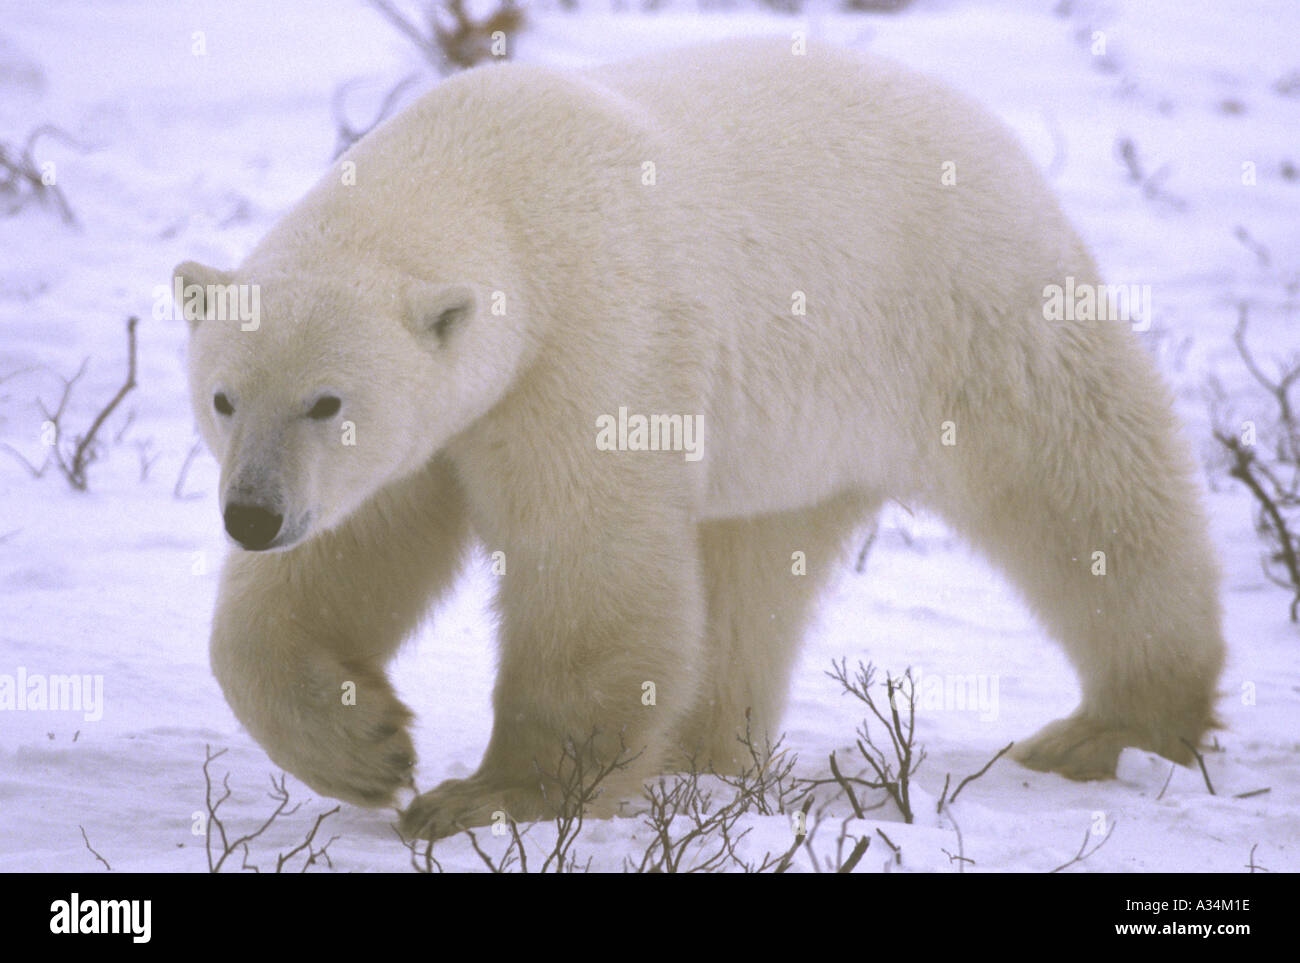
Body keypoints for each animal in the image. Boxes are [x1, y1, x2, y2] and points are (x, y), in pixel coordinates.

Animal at [177, 38, 1225, 839]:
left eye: (326, 401)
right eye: (223, 397)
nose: (252, 516)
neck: (493, 179)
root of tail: (990, 128)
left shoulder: (590, 338)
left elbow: (585, 557)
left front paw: (487, 795)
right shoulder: (435, 426)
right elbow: (349, 555)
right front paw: (365, 749)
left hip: (968, 309)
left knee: (1082, 482)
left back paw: (1110, 726)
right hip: (796, 435)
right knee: (754, 569)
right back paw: (699, 746)